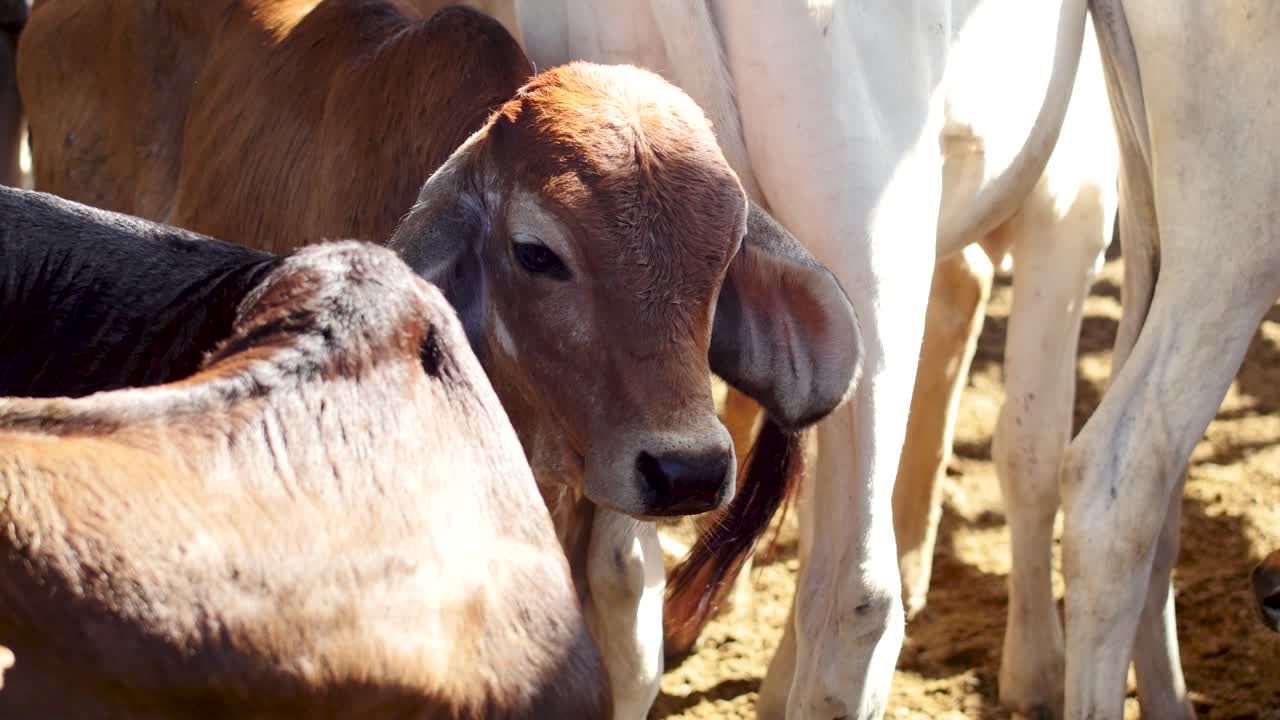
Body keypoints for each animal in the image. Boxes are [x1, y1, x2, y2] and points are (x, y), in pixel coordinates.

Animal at [506, 1, 1114, 717]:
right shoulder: (1076, 198)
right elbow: (1031, 452)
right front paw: (1037, 670)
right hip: (867, 259)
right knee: (857, 598)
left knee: (622, 574)